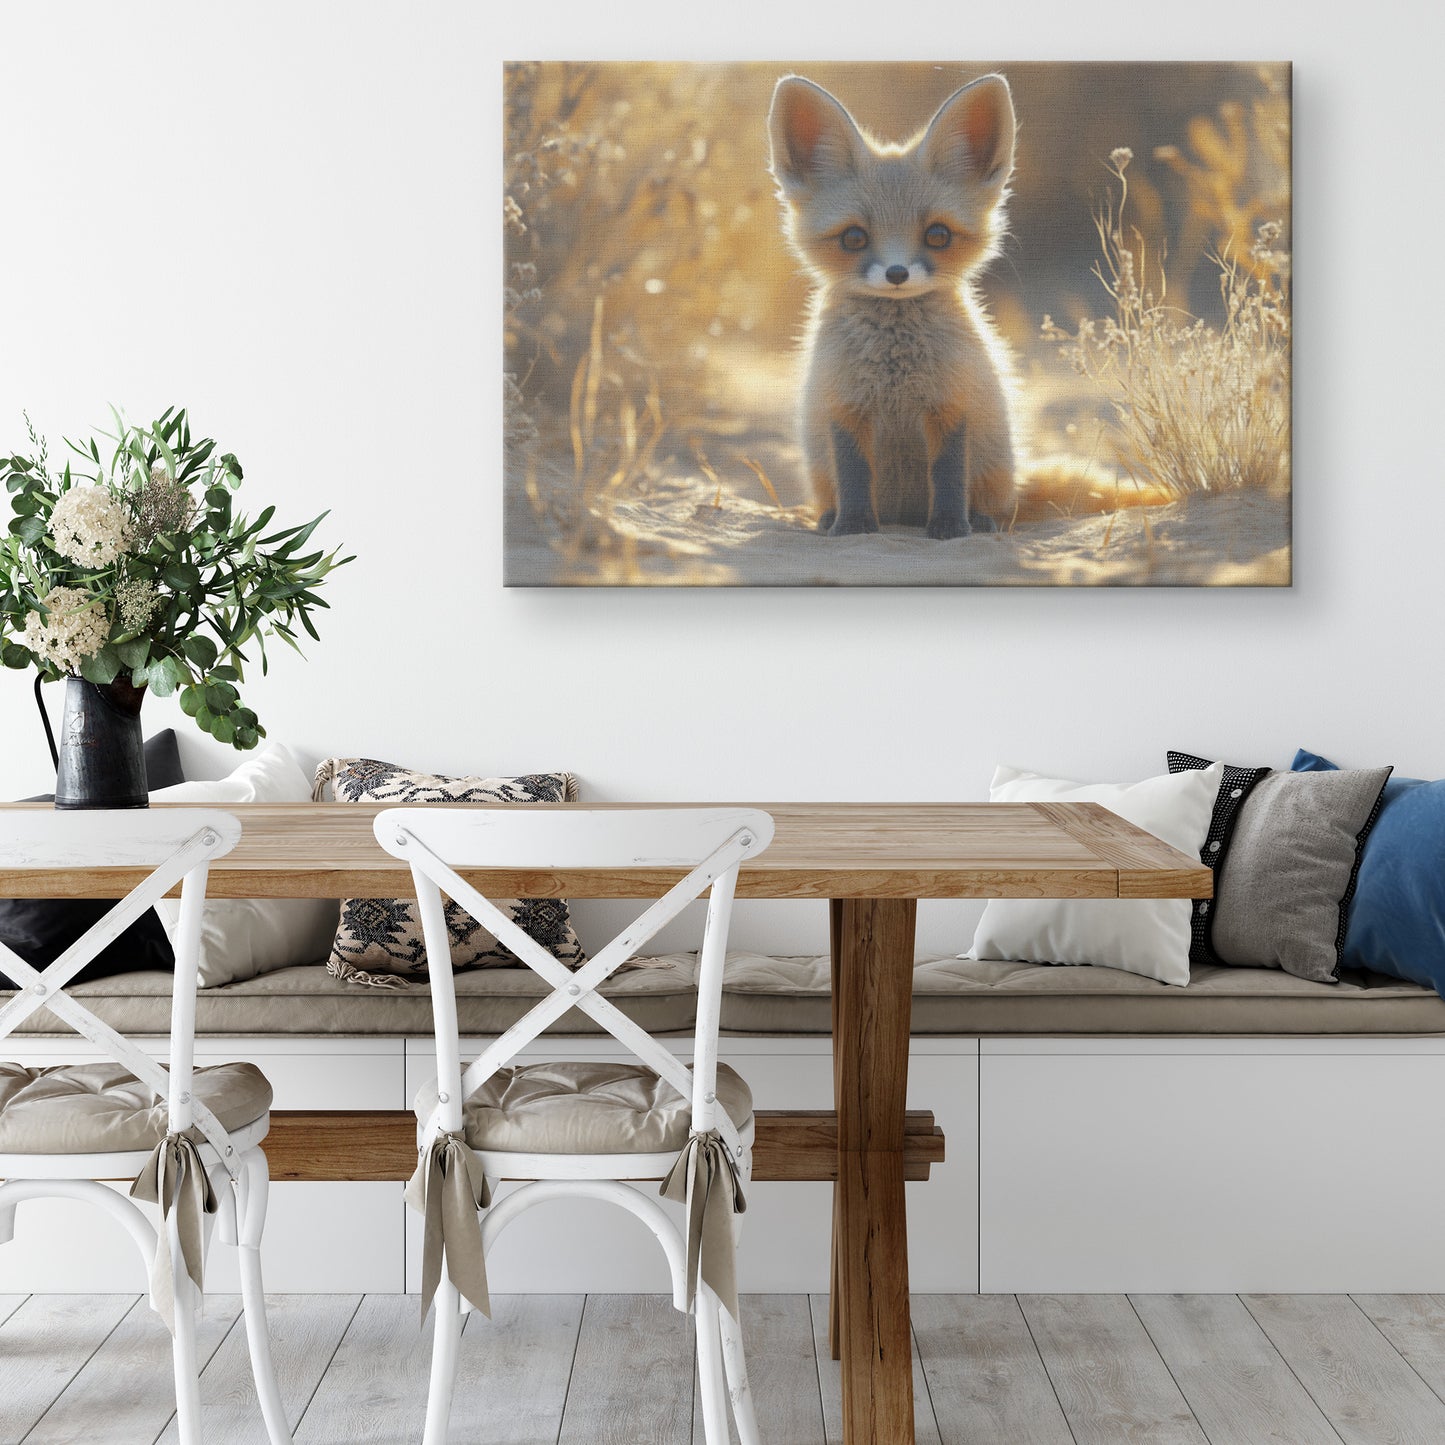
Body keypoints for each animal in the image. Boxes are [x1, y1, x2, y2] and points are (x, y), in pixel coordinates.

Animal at [768, 73, 1019, 538]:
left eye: (938, 235)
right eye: (854, 238)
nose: (897, 273)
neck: (895, 368)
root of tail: (904, 515)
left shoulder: (950, 403)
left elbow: (949, 474)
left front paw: (951, 527)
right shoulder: (844, 402)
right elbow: (852, 473)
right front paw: (851, 526)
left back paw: (980, 518)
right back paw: (829, 517)